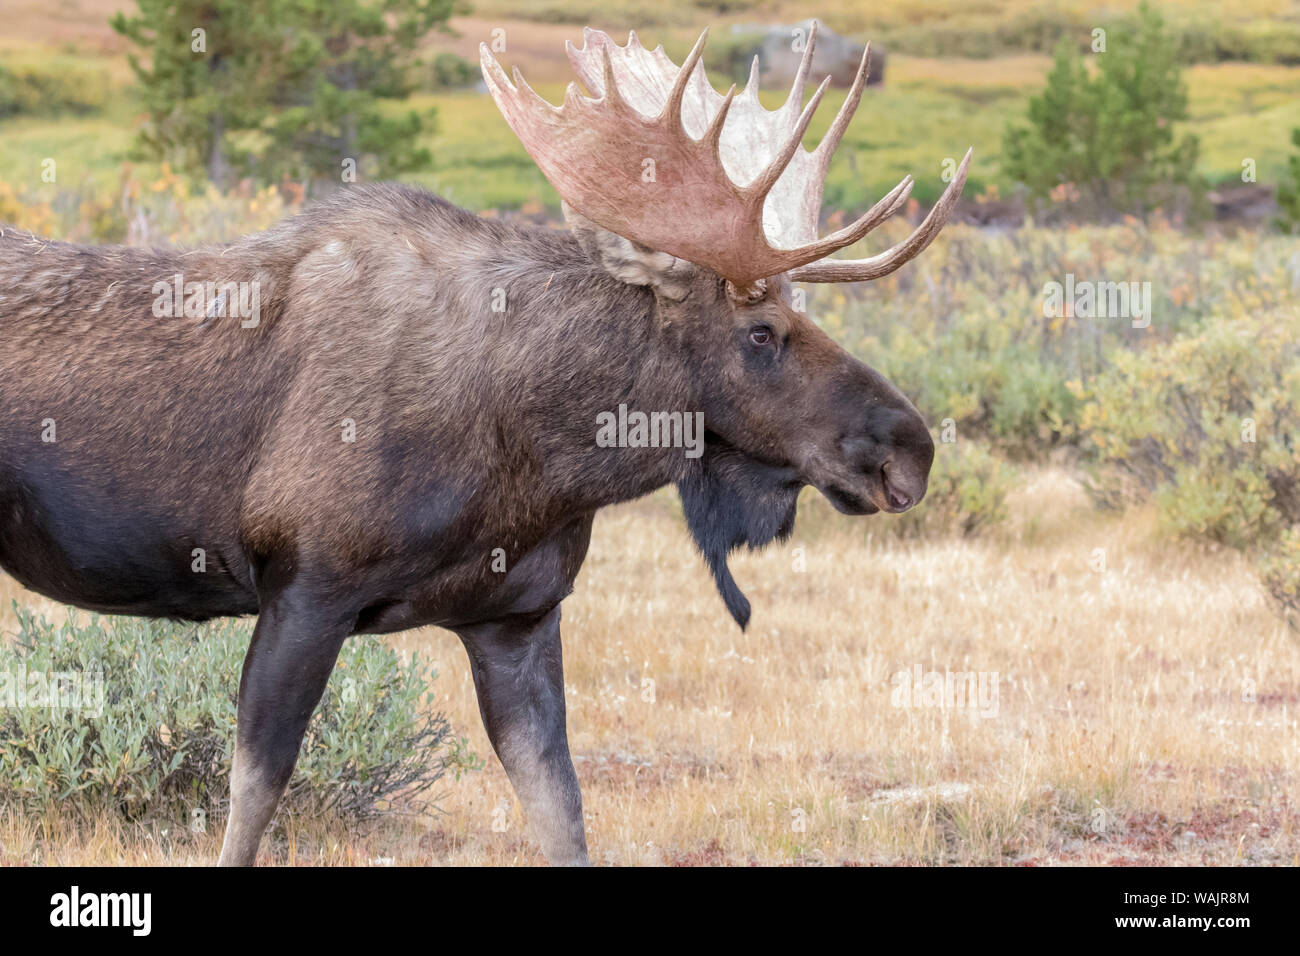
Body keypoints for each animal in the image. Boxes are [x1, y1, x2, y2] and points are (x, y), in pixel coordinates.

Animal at [0, 22, 968, 865]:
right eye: (762, 330)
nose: (908, 450)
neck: (529, 459)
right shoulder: (305, 589)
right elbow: (249, 807)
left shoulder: (518, 618)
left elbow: (564, 817)